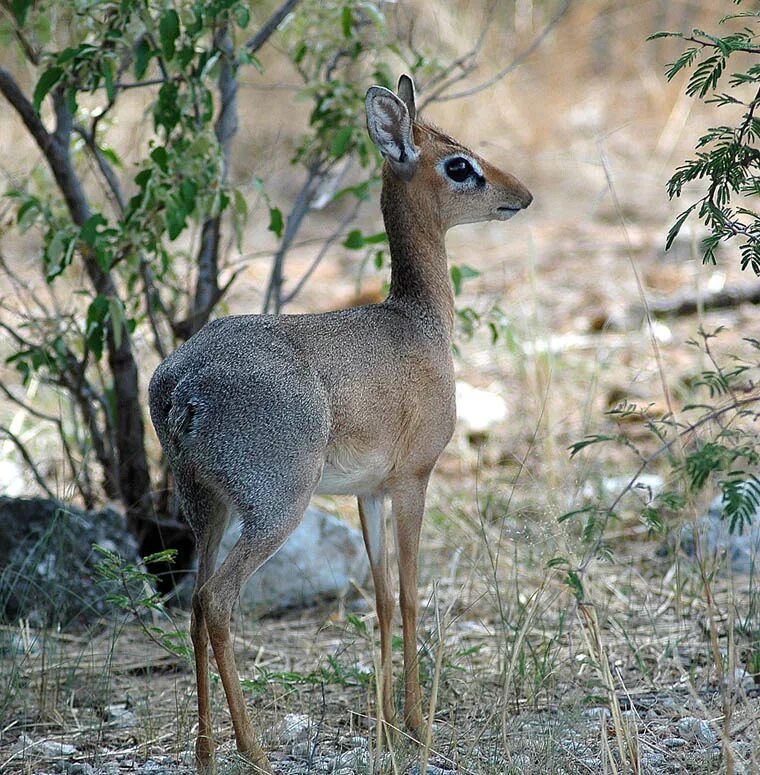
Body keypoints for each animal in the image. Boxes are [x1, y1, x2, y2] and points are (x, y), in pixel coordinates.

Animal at [148, 74, 528, 775]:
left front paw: (385, 728)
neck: (419, 322)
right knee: (218, 600)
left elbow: (379, 600)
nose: (521, 194)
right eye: (459, 165)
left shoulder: (367, 491)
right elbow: (410, 594)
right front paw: (419, 728)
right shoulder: (413, 479)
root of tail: (184, 383)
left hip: (205, 503)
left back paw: (208, 752)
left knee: (193, 604)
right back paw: (255, 749)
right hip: (276, 506)